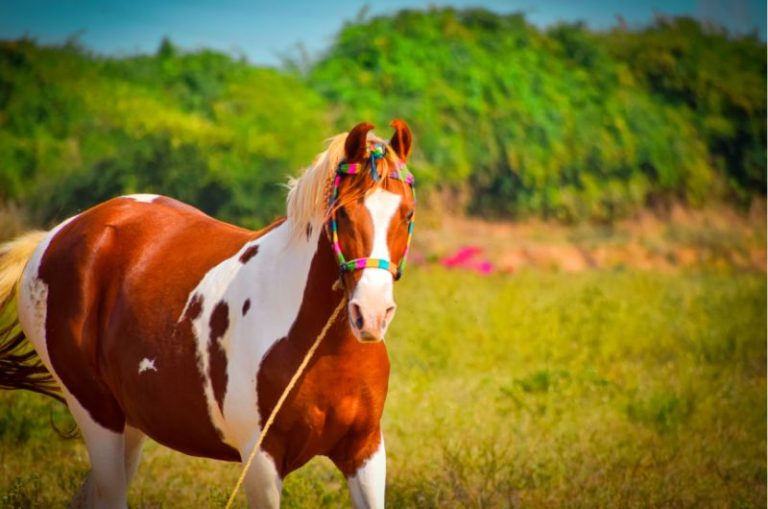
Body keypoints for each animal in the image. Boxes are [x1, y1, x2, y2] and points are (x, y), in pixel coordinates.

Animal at [0, 120, 416, 508]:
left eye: (407, 213)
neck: (323, 350)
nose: (372, 314)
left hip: (130, 422)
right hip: (95, 413)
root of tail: (56, 235)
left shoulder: (364, 451)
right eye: (343, 213)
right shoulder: (261, 460)